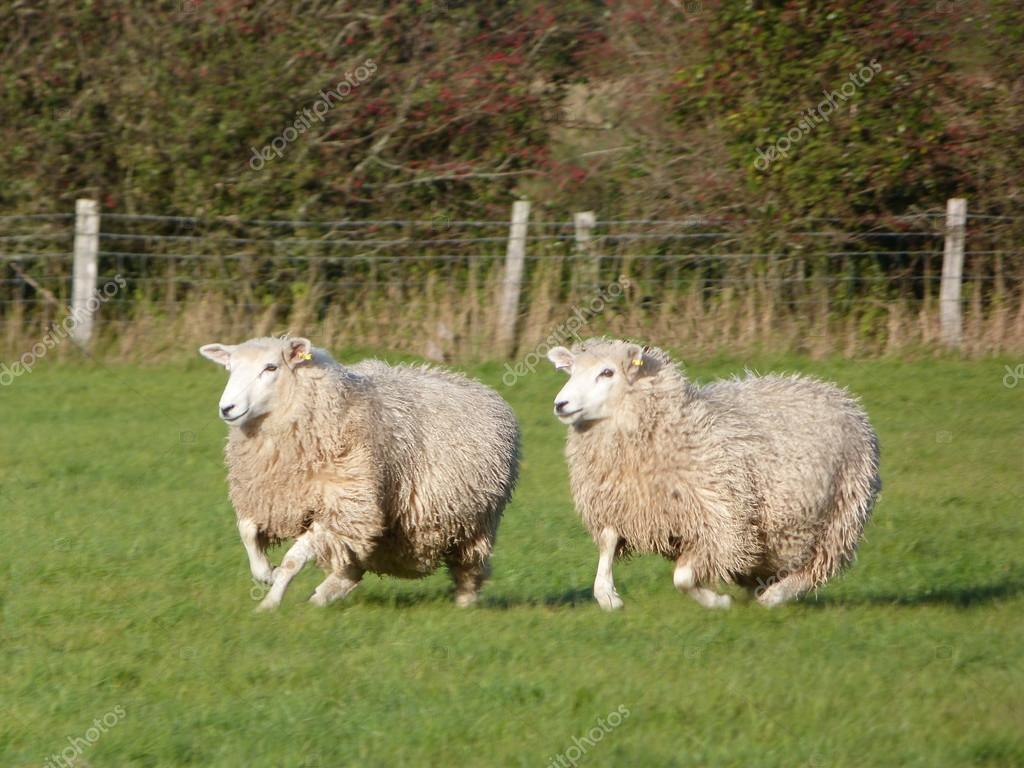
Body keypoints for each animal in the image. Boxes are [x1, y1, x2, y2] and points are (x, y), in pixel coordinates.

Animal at [199, 336, 519, 610]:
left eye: (271, 367)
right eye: (229, 368)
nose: (227, 408)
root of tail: (482, 387)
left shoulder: (343, 508)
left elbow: (292, 560)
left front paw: (269, 602)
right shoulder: (270, 498)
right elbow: (247, 530)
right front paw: (266, 573)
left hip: (474, 522)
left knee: (470, 566)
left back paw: (465, 602)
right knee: (350, 568)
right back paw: (320, 598)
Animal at [546, 338, 880, 610]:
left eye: (607, 373)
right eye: (571, 372)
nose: (560, 404)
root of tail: (837, 394)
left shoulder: (722, 521)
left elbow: (682, 578)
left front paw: (717, 602)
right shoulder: (623, 503)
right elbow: (607, 544)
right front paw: (608, 596)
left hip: (841, 515)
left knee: (817, 567)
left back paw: (774, 597)